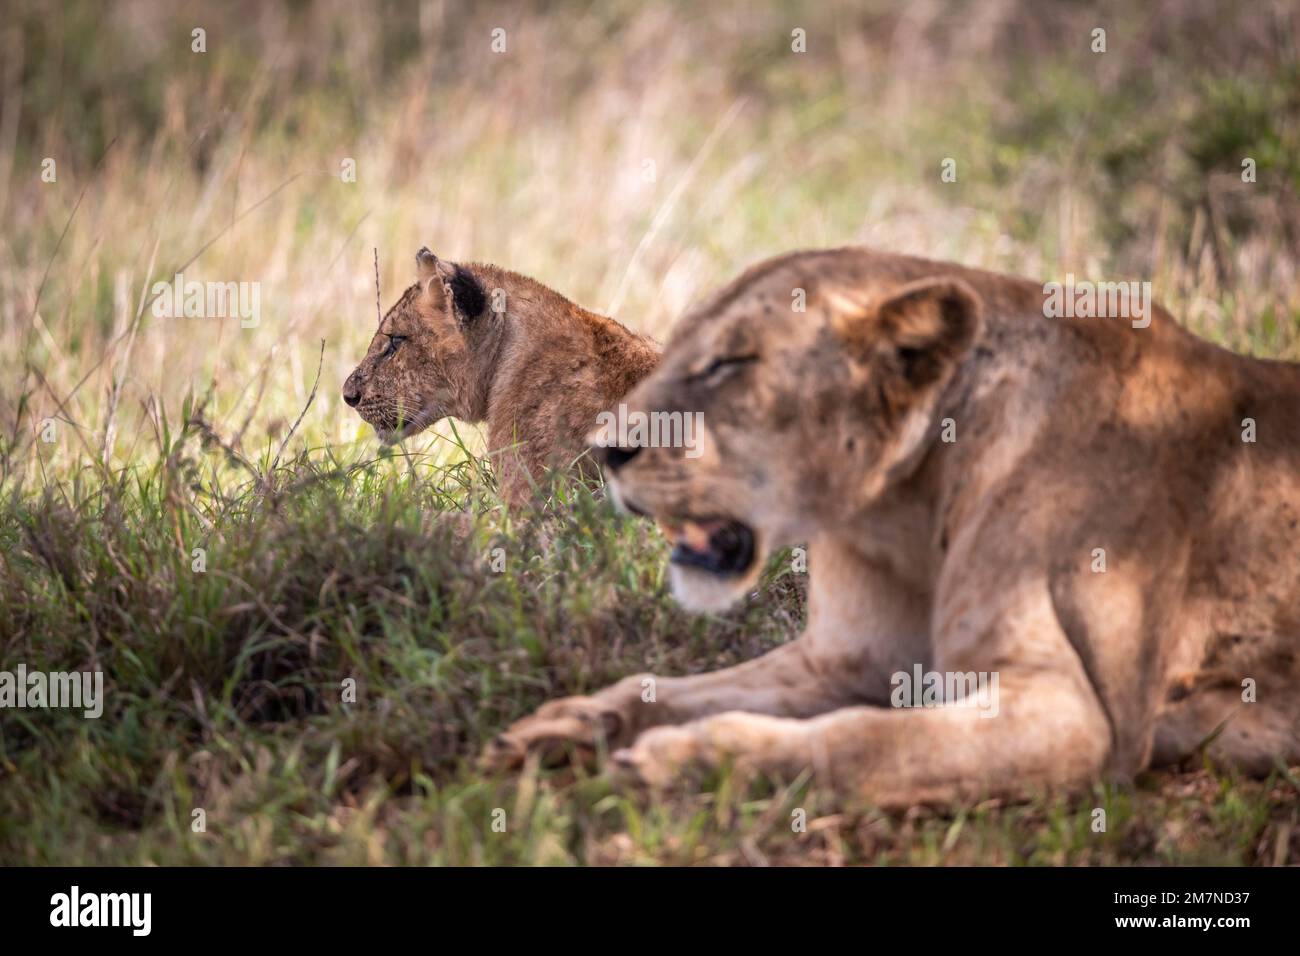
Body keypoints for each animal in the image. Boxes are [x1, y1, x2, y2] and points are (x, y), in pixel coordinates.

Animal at [483, 246, 1300, 807]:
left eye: (733, 363)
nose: (607, 448)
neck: (907, 505)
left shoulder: (1085, 717)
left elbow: (864, 740)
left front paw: (683, 760)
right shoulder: (846, 661)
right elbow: (665, 687)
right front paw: (565, 724)